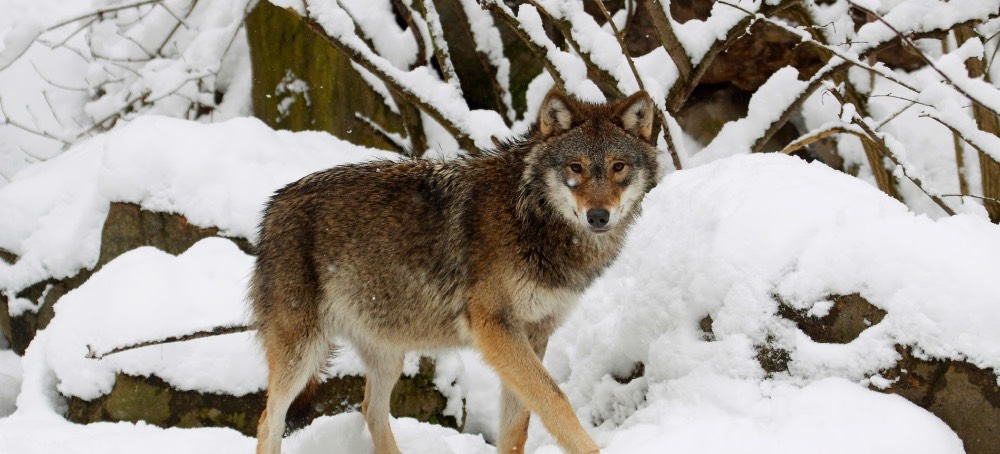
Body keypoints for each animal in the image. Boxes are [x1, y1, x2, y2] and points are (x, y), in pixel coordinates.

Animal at [250, 88, 660, 454]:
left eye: (618, 167)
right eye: (575, 167)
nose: (598, 216)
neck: (530, 216)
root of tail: (274, 204)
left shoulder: (535, 333)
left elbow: (517, 429)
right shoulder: (496, 328)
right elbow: (554, 399)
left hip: (388, 351)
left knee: (372, 411)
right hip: (302, 352)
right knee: (269, 419)